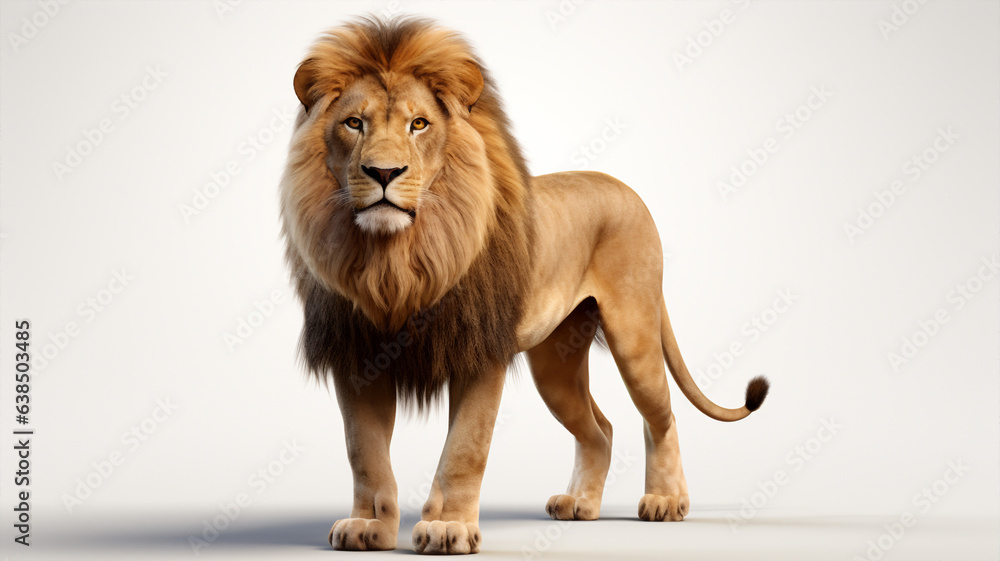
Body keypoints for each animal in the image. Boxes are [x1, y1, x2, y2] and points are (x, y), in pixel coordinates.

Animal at [280, 17, 769, 555]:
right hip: (556, 362)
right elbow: (363, 451)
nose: (384, 172)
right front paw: (368, 527)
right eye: (354, 123)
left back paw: (665, 501)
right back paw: (580, 504)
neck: (398, 261)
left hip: (634, 334)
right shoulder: (356, 356)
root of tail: (625, 187)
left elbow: (465, 448)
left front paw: (449, 528)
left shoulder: (478, 353)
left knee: (662, 418)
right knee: (600, 429)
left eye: (419, 124)